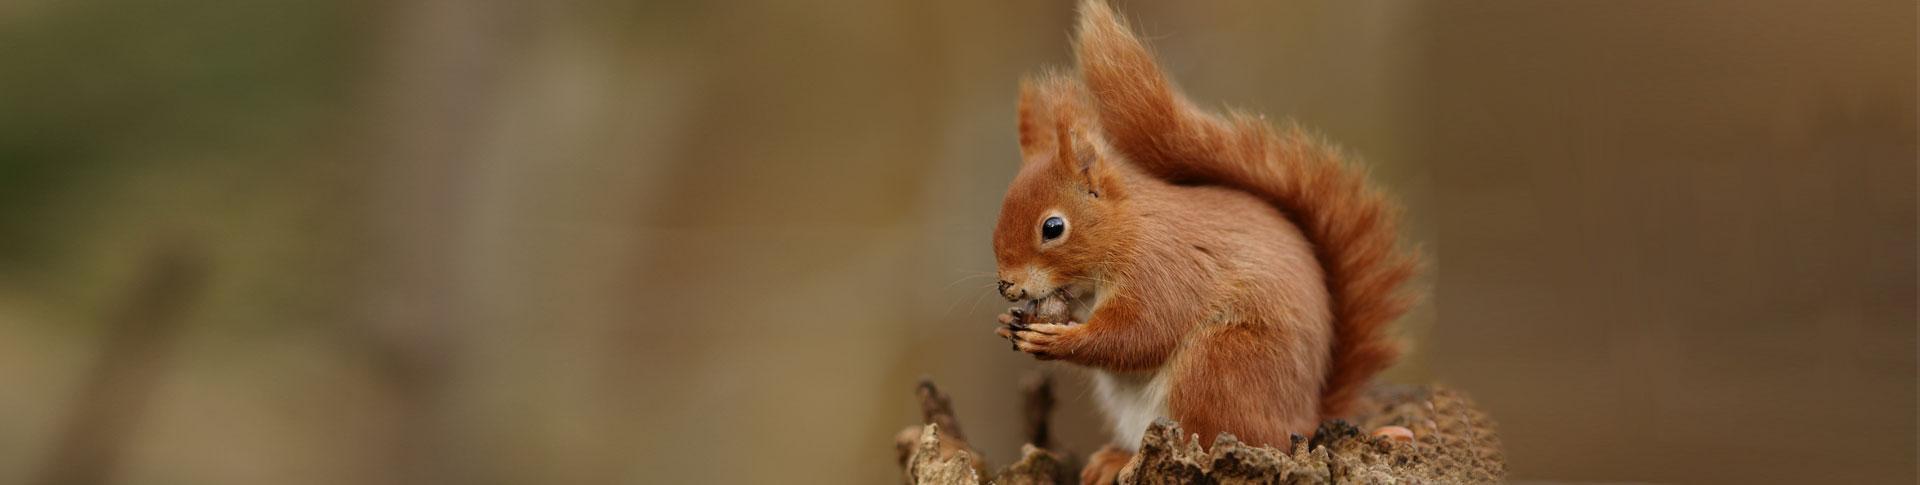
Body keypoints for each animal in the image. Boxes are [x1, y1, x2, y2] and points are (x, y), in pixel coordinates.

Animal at [990, 2, 1418, 483]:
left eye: (1052, 227)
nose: (1007, 285)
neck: (1128, 229)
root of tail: (1304, 422)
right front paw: (1010, 322)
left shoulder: (1161, 271)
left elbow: (1138, 334)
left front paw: (1055, 342)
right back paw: (1115, 459)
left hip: (1217, 367)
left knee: (1216, 430)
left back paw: (1132, 461)